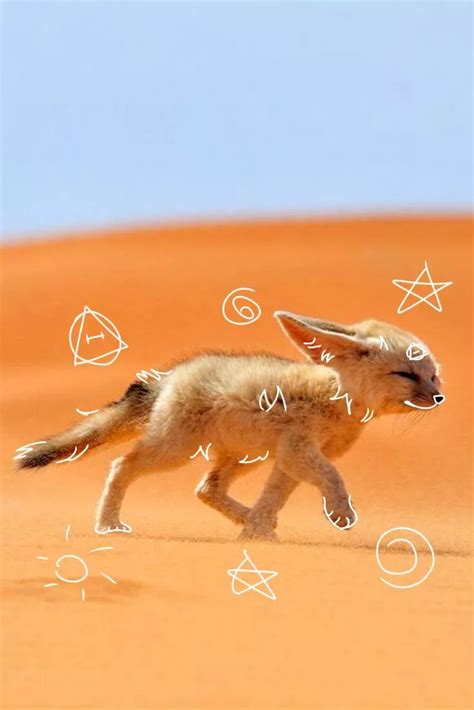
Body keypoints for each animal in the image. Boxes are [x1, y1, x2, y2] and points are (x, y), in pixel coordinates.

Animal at [15, 311, 445, 540]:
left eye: (433, 376)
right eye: (406, 374)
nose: (439, 397)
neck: (338, 401)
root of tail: (167, 378)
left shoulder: (288, 459)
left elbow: (274, 498)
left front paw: (256, 534)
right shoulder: (299, 450)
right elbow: (333, 477)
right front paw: (340, 512)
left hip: (245, 456)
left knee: (206, 488)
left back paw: (249, 521)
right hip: (175, 451)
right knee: (122, 465)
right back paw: (108, 524)